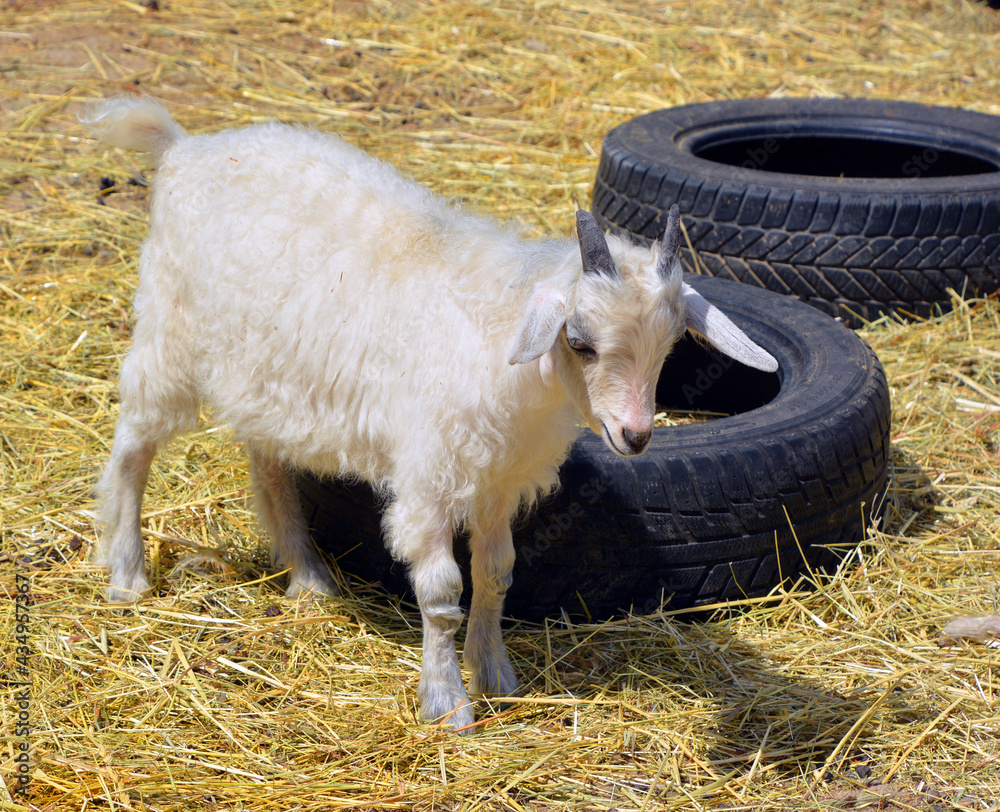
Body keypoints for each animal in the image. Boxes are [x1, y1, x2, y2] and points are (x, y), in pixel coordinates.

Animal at [84, 97, 778, 732]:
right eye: (580, 342)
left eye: (671, 345)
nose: (634, 436)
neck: (500, 339)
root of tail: (186, 148)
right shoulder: (429, 478)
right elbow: (442, 592)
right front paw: (447, 702)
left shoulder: (497, 479)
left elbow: (497, 574)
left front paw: (495, 675)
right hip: (169, 334)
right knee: (132, 446)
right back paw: (126, 572)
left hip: (269, 376)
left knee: (267, 458)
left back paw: (307, 576)